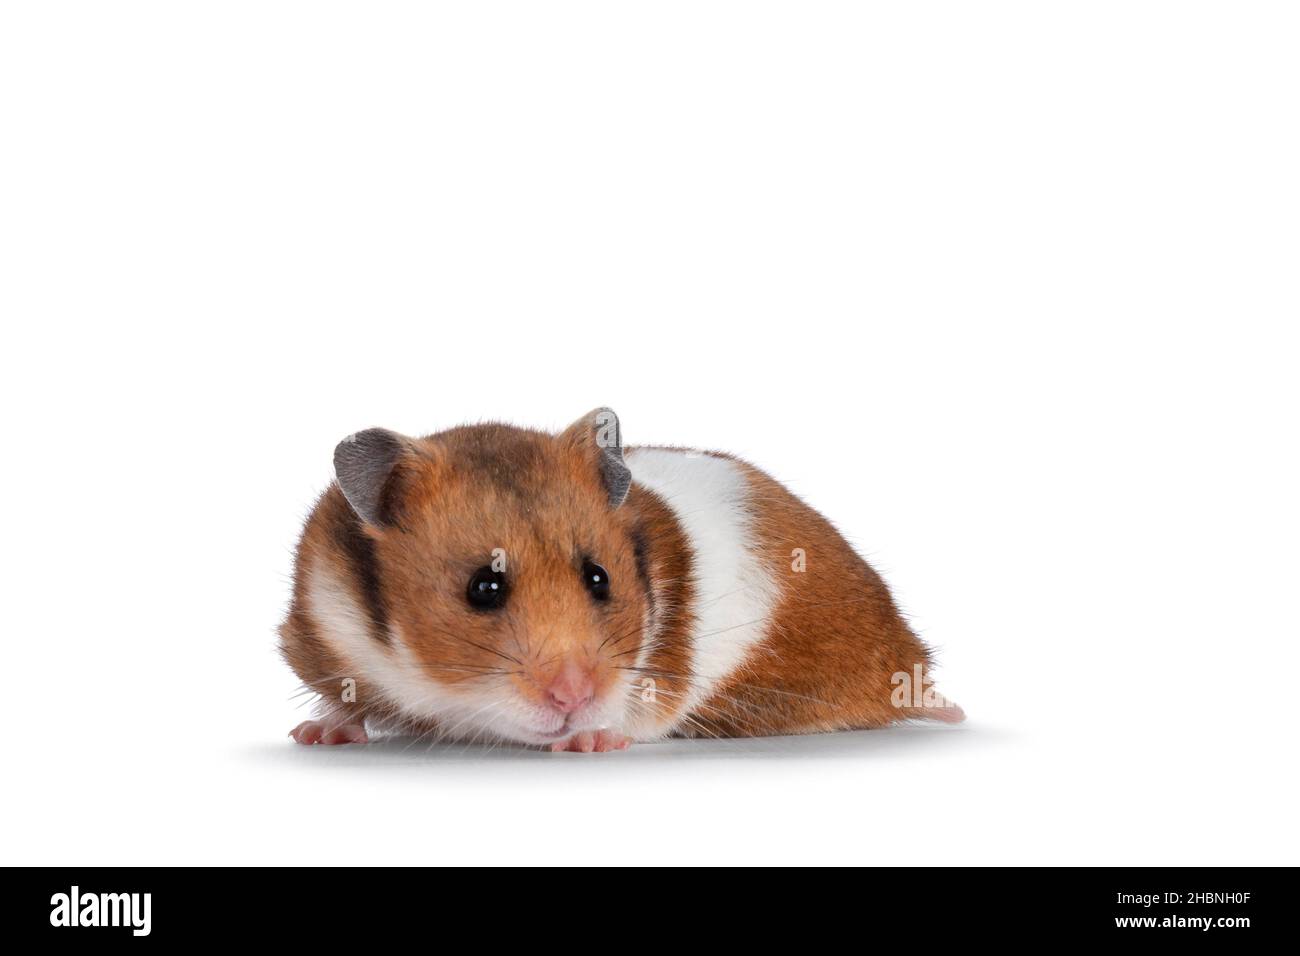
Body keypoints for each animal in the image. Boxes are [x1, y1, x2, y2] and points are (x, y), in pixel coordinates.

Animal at [280, 407, 962, 752]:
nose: (574, 696)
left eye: (599, 577)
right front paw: (316, 736)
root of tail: (911, 659)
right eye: (483, 587)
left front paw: (589, 742)